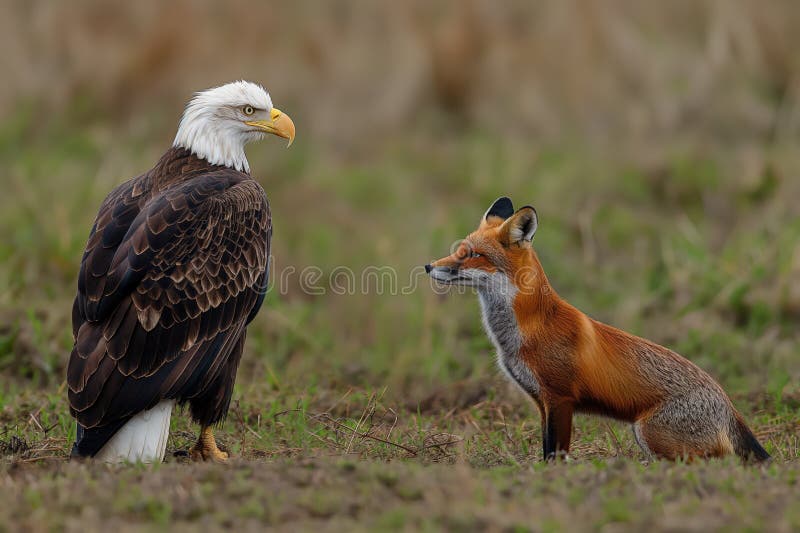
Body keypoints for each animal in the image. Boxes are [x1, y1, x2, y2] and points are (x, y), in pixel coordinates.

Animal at [425, 197, 770, 463]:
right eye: (459, 249)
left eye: (472, 254)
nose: (428, 266)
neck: (527, 329)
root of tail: (729, 406)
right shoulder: (542, 402)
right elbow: (546, 448)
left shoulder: (560, 399)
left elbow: (555, 454)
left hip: (648, 432)